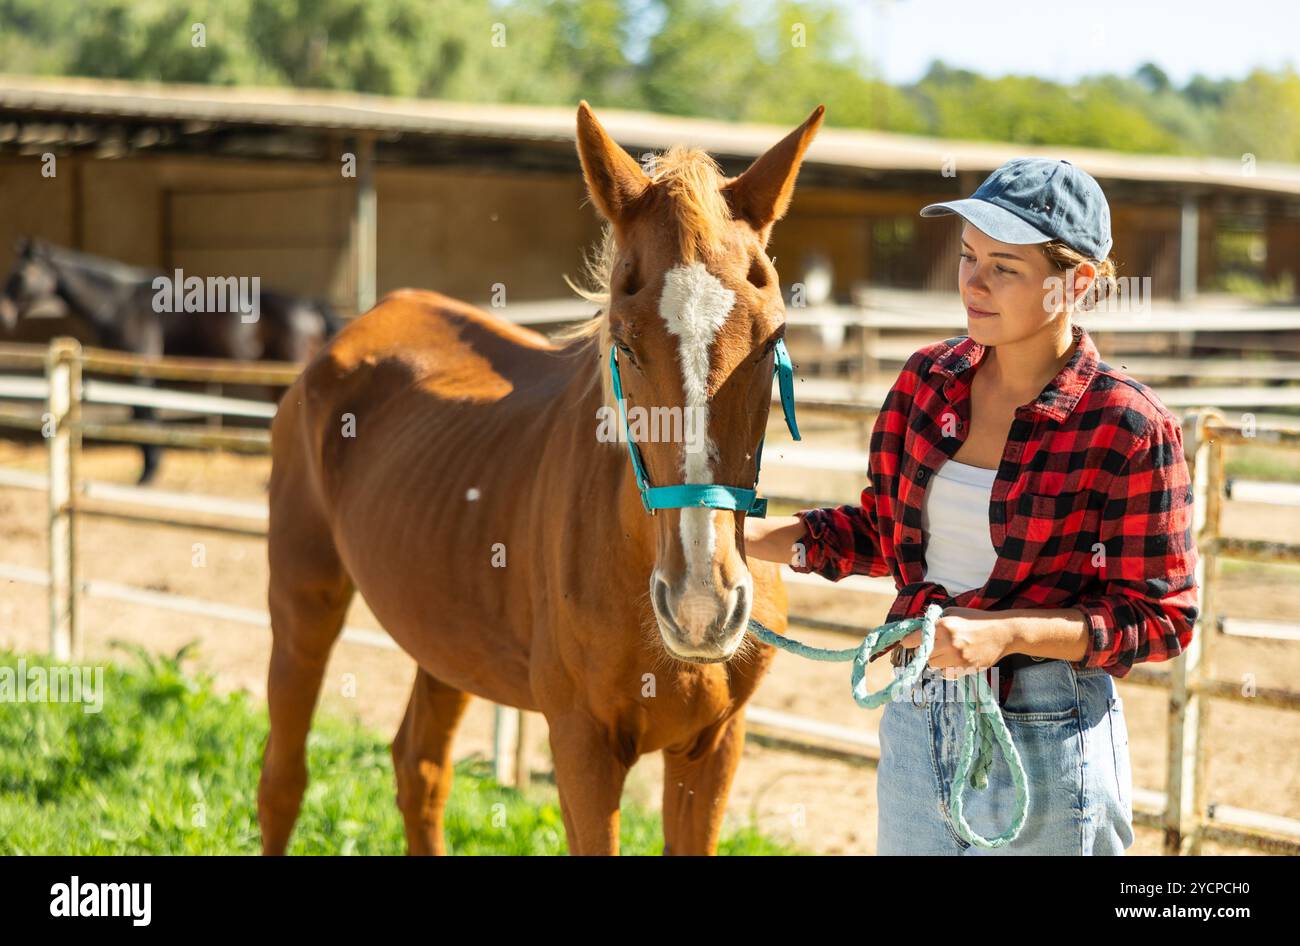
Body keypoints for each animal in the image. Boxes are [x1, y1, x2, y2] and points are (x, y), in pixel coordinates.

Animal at [0, 238, 343, 483]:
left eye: (19, 275)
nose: (5, 316)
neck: (118, 302)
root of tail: (310, 306)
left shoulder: (141, 371)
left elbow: (144, 417)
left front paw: (148, 473)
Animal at [259, 101, 826, 855]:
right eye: (624, 342)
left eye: (771, 340)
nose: (701, 607)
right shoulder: (583, 750)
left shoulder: (714, 748)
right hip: (302, 602)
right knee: (283, 779)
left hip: (446, 640)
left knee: (419, 769)